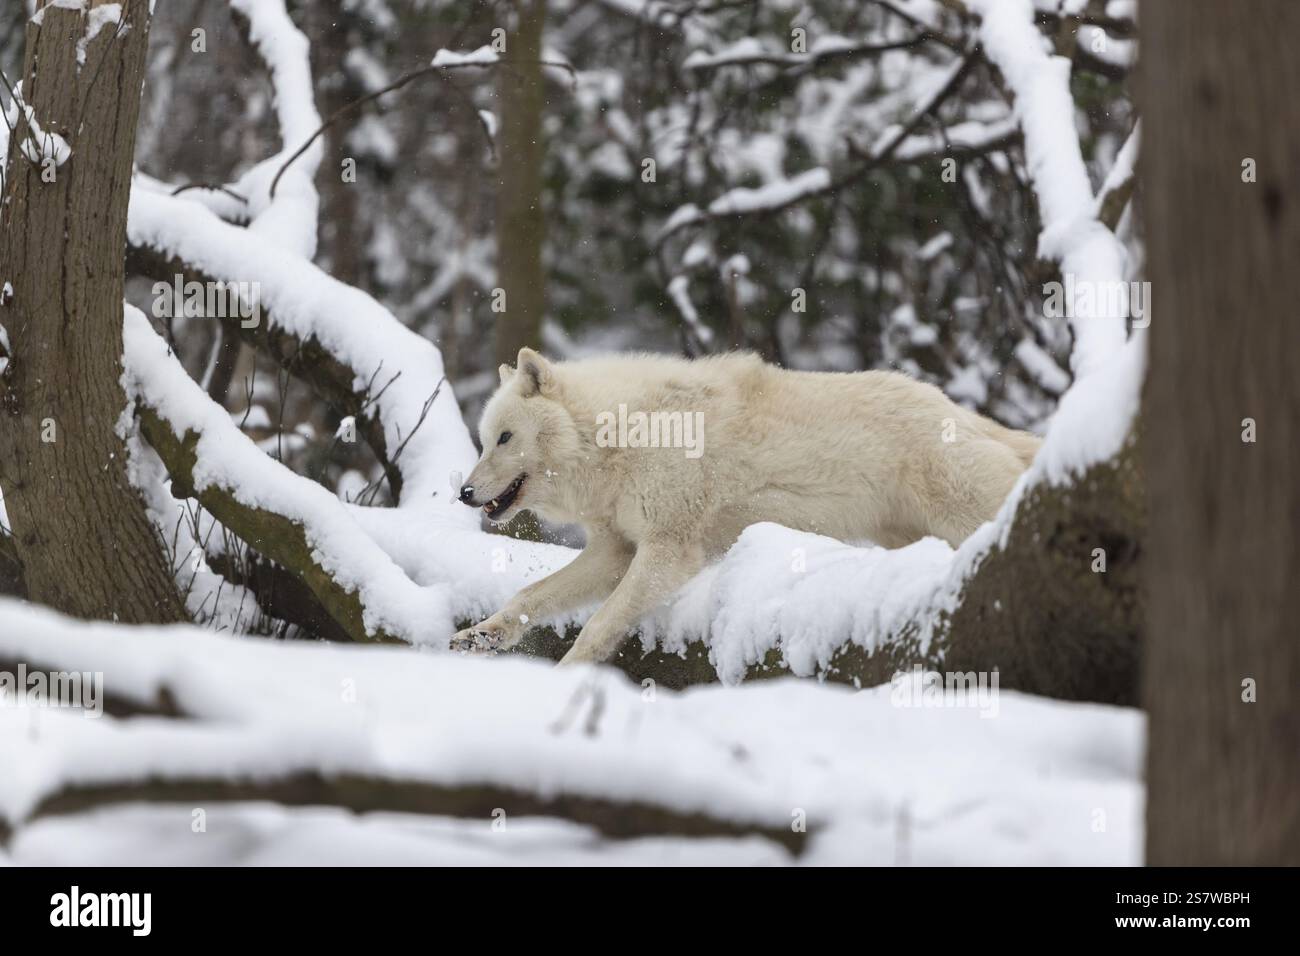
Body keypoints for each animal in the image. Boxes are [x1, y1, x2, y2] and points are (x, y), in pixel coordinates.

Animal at [454, 348, 1040, 665]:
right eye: (483, 441)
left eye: (504, 438)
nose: (463, 492)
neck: (618, 437)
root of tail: (964, 414)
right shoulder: (617, 550)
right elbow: (530, 595)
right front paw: (483, 634)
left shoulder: (669, 551)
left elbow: (600, 623)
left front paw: (567, 676)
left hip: (964, 510)